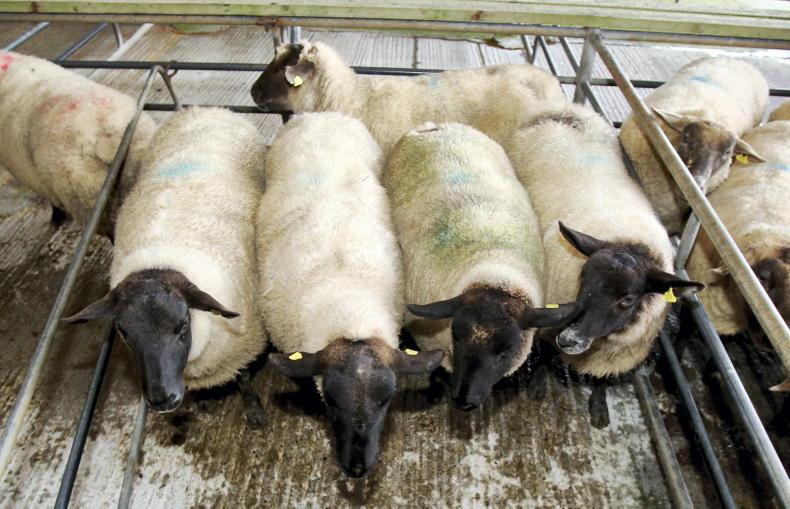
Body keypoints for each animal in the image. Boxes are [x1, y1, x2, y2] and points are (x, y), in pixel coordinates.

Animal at [64, 107, 266, 423]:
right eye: (124, 332)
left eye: (182, 324)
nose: (162, 399)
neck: (158, 262)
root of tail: (201, 109)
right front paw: (204, 401)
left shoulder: (244, 345)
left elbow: (244, 379)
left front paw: (254, 411)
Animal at [505, 102, 703, 427]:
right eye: (583, 278)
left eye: (628, 300)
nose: (569, 339)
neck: (627, 241)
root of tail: (563, 106)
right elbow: (544, 353)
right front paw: (538, 385)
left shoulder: (611, 354)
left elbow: (602, 380)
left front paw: (599, 408)